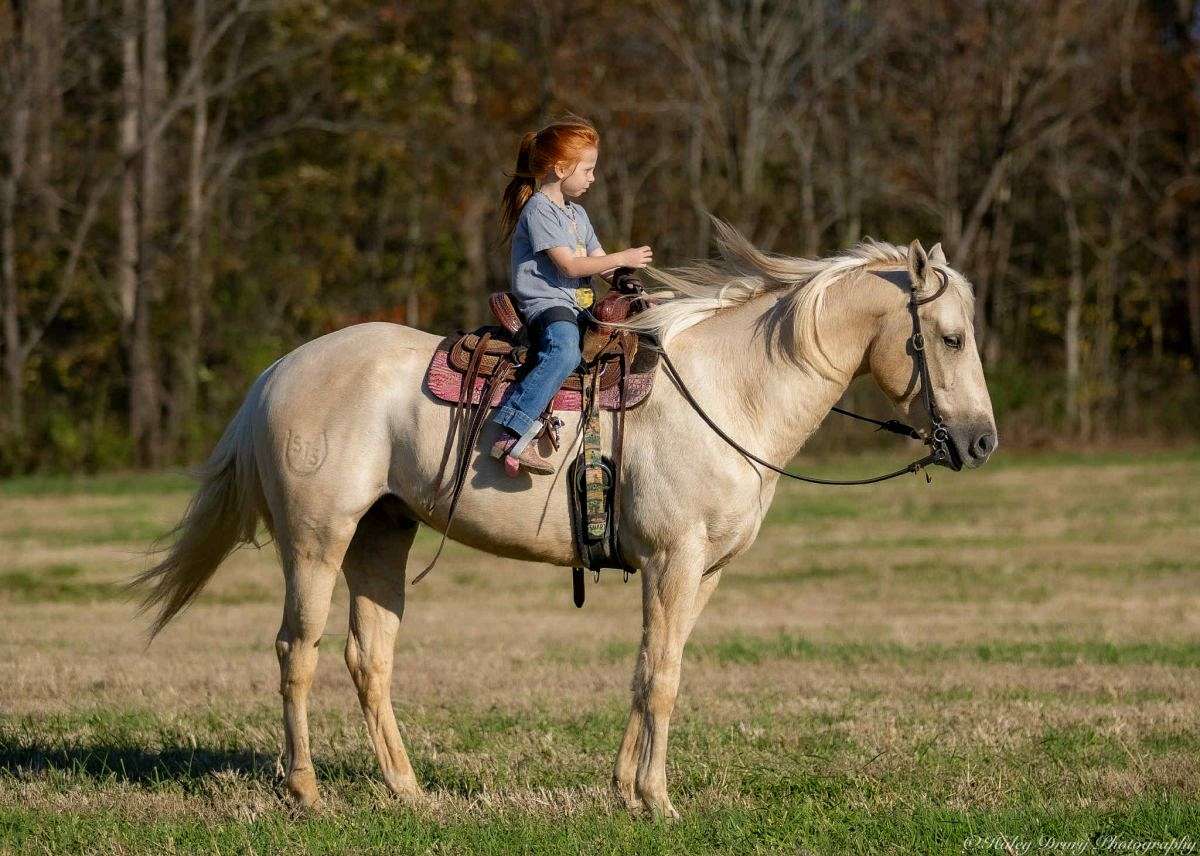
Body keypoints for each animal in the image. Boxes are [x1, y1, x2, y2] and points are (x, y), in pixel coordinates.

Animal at [133, 220, 997, 819]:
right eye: (950, 337)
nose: (982, 441)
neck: (732, 390)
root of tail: (280, 371)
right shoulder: (672, 561)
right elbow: (662, 675)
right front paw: (658, 801)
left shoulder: (704, 573)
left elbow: (653, 668)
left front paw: (627, 791)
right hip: (316, 541)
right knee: (297, 651)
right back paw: (306, 791)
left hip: (382, 536)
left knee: (367, 658)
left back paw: (408, 791)